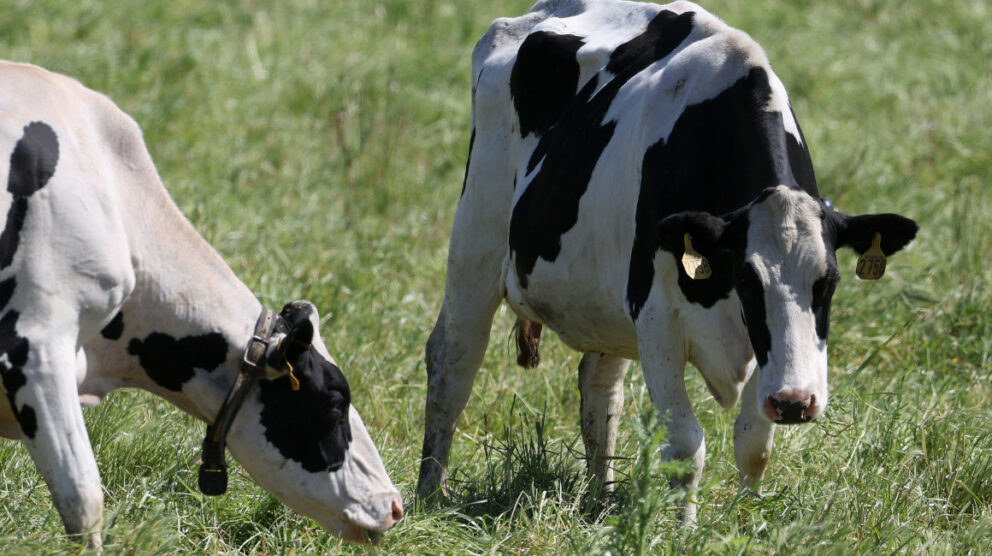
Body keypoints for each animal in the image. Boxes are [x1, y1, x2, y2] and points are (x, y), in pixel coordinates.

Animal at [417, 0, 918, 521]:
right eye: (746, 282)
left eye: (829, 282)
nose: (796, 402)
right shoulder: (656, 316)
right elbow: (685, 446)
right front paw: (684, 529)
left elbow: (754, 443)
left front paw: (745, 522)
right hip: (476, 237)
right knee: (453, 362)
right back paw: (431, 492)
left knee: (599, 387)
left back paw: (602, 498)